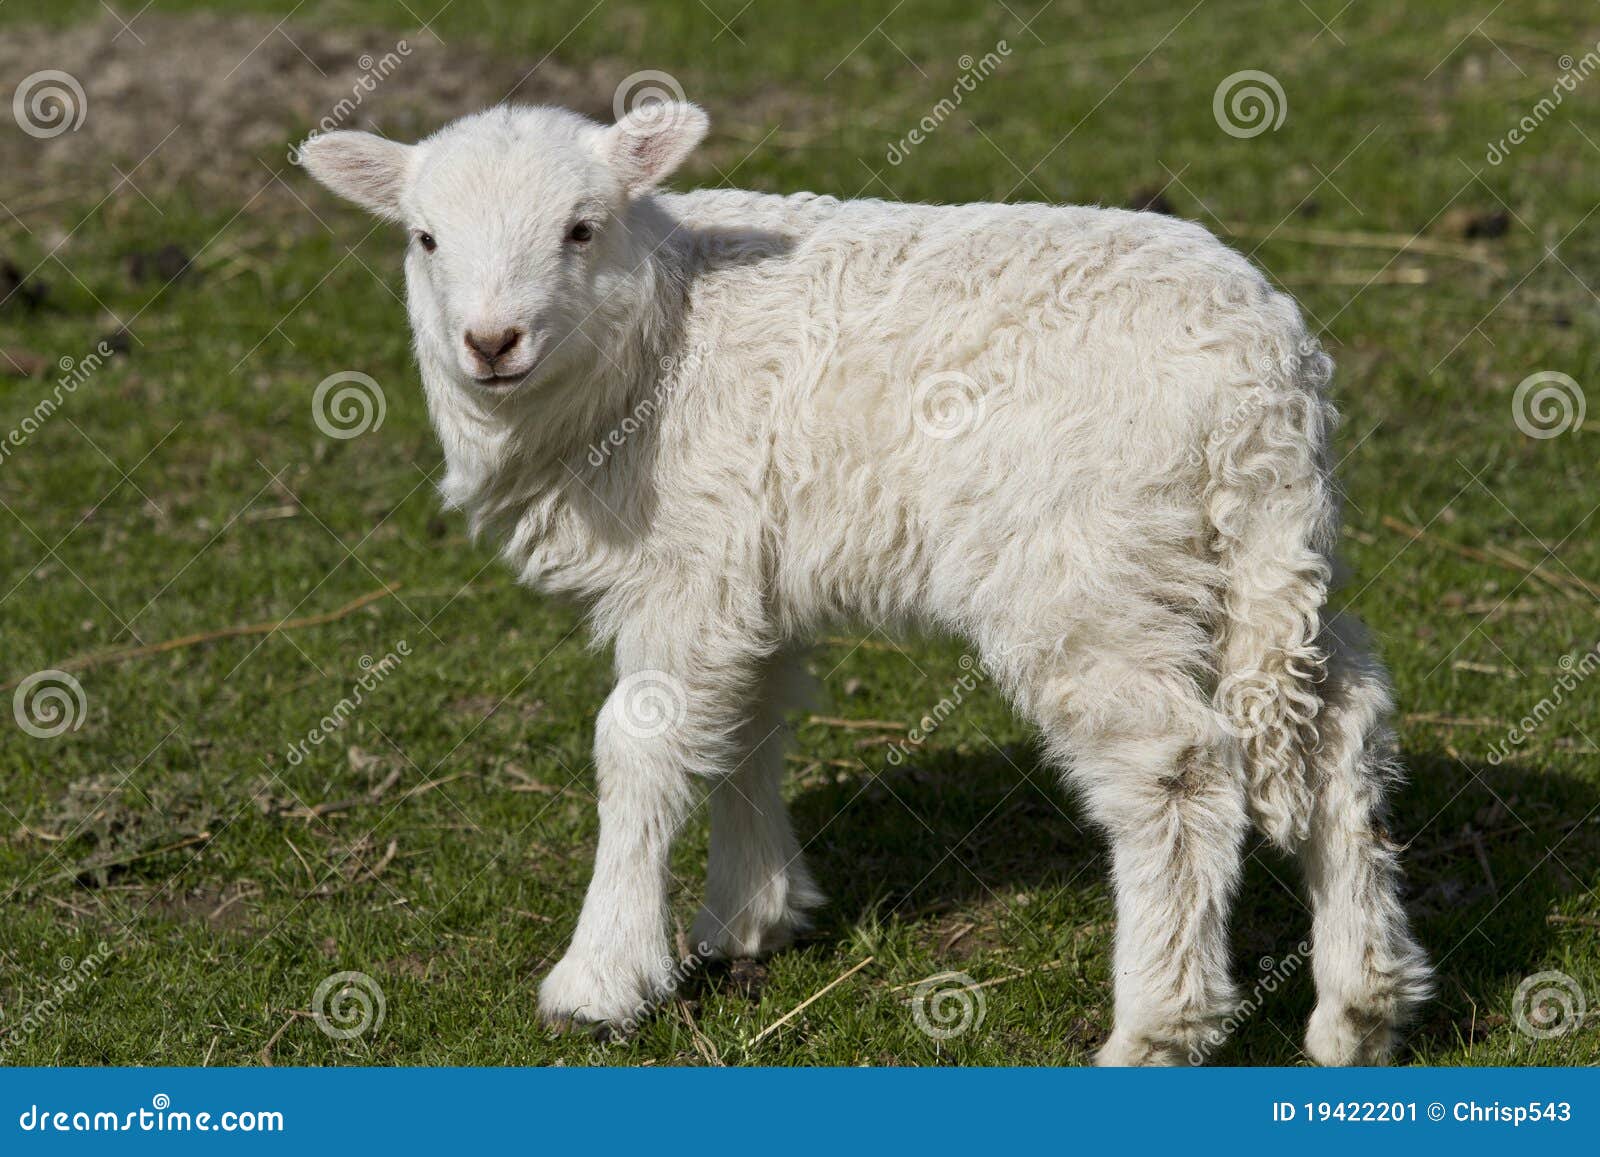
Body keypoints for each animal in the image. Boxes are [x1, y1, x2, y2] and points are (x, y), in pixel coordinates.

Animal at [300, 99, 1433, 1065]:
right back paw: (1358, 1008)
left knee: (1174, 768)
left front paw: (600, 977)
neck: (662, 335)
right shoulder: (752, 567)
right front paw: (750, 915)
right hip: (1262, 557)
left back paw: (1155, 1030)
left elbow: (638, 740)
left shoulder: (689, 561)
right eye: (424, 239)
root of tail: (1262, 383)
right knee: (1339, 726)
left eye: (582, 229)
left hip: (1086, 568)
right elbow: (748, 723)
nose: (491, 342)